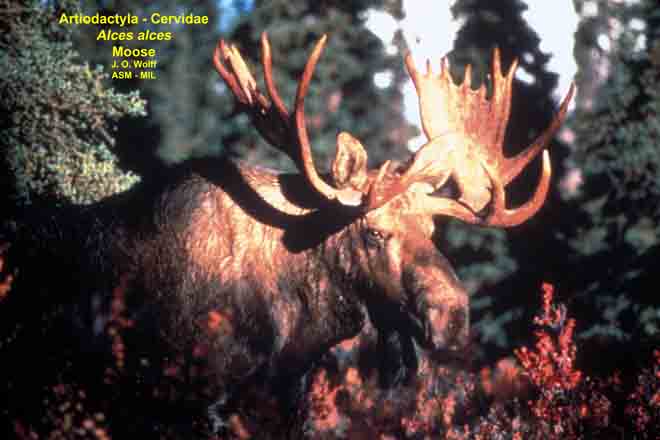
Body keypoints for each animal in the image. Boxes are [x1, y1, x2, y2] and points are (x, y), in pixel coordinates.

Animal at [0, 32, 573, 436]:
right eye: (373, 233)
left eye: (433, 228)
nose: (452, 316)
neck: (296, 327)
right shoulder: (183, 398)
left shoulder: (284, 399)